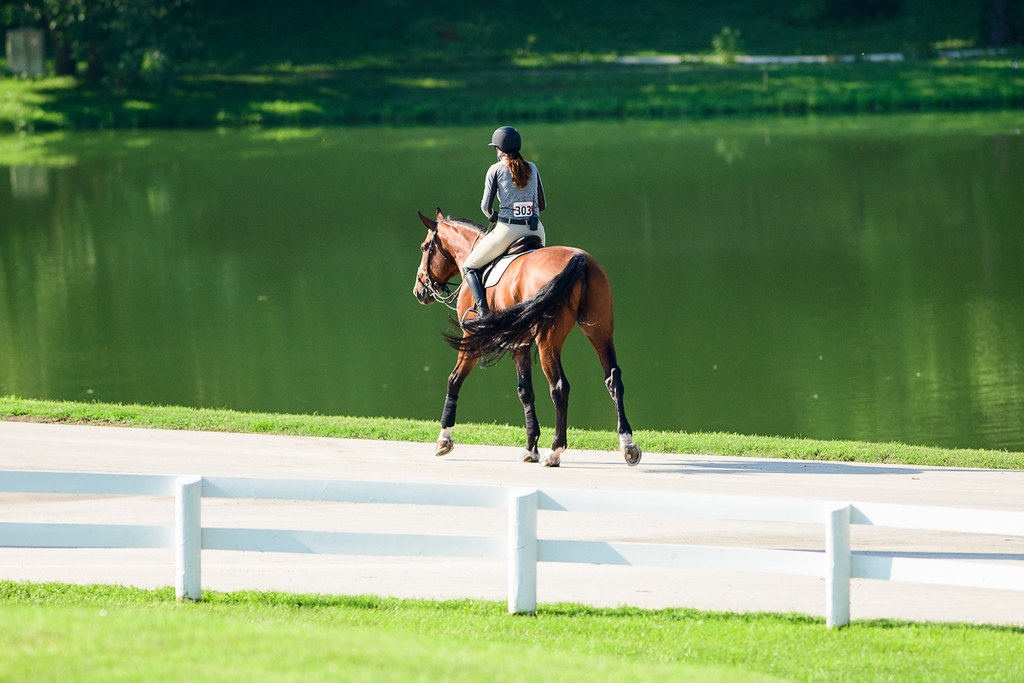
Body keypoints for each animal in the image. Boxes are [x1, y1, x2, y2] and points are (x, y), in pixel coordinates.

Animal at [413, 207, 641, 468]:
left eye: (424, 247)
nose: (419, 290)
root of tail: (580, 259)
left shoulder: (471, 338)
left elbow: (454, 380)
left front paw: (444, 439)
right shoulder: (519, 344)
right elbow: (525, 392)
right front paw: (531, 448)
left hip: (548, 342)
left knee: (559, 387)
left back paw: (555, 451)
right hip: (599, 331)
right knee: (613, 378)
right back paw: (627, 444)